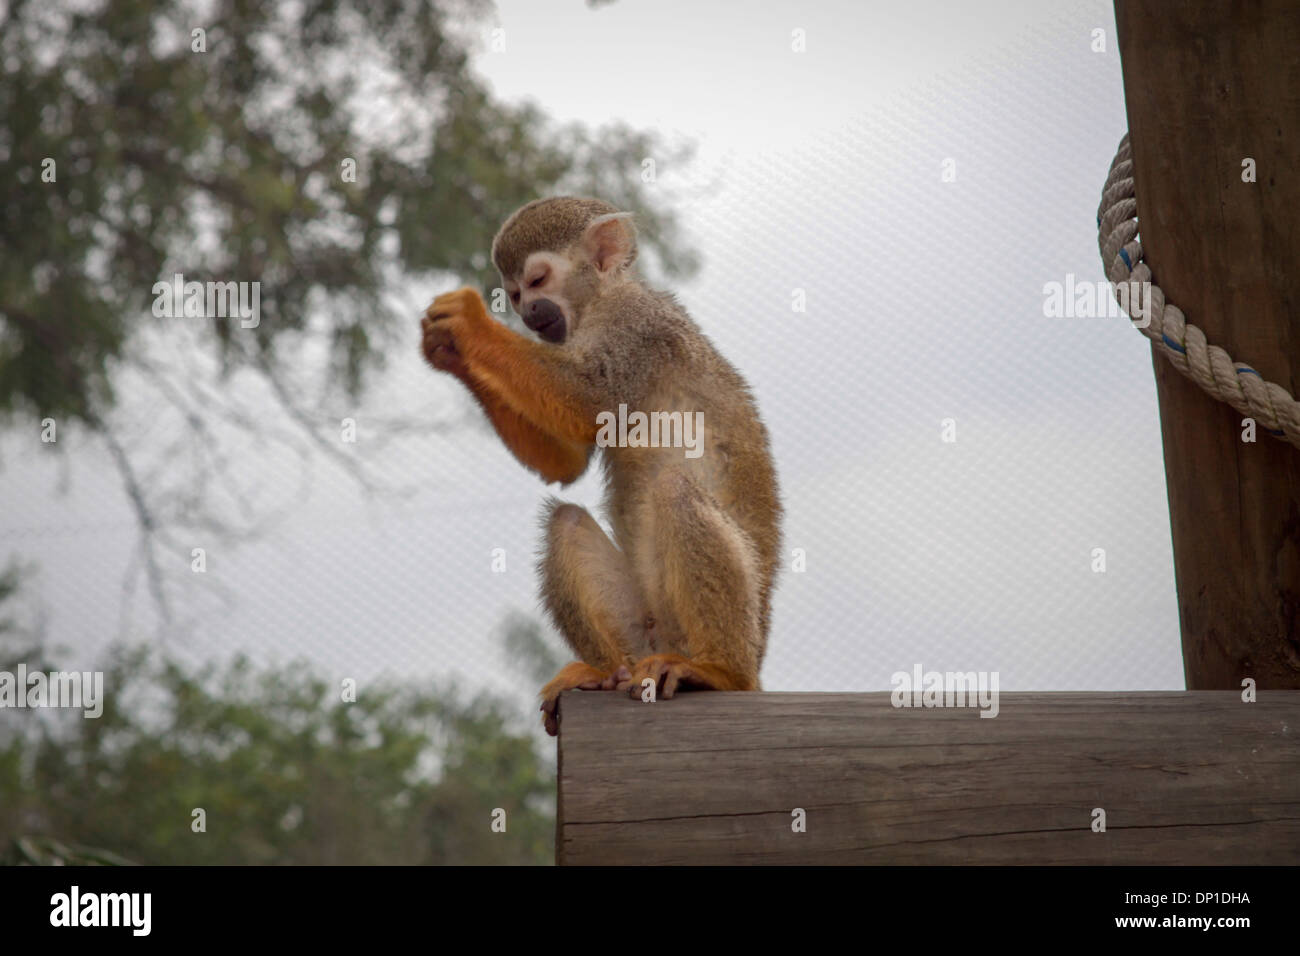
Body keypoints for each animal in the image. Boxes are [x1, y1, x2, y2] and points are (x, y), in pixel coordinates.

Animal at [421, 197, 781, 735]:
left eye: (539, 279)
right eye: (515, 293)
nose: (528, 313)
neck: (599, 301)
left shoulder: (635, 327)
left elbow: (589, 399)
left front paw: (469, 322)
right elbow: (566, 461)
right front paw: (448, 351)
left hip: (733, 634)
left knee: (675, 490)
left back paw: (718, 671)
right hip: (645, 629)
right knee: (566, 522)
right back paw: (607, 673)